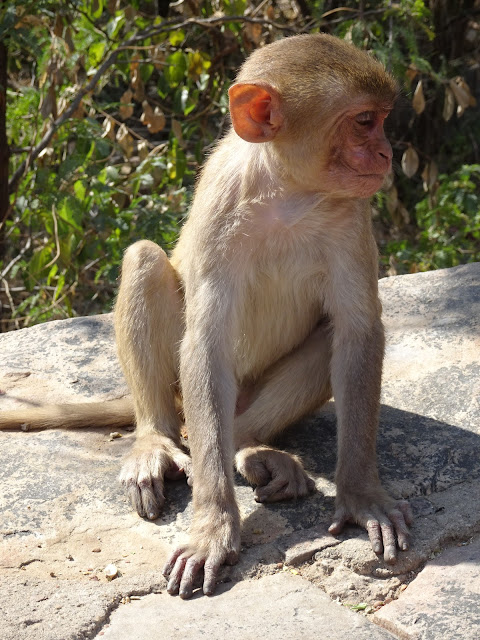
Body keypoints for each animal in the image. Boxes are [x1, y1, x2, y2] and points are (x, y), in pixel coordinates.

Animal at [0, 34, 413, 599]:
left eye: (380, 119)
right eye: (365, 121)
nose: (387, 153)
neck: (288, 191)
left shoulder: (353, 211)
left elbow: (358, 331)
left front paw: (361, 493)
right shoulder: (222, 204)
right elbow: (206, 342)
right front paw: (213, 524)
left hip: (250, 396)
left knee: (321, 344)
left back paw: (249, 448)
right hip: (183, 396)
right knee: (145, 261)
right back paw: (156, 439)